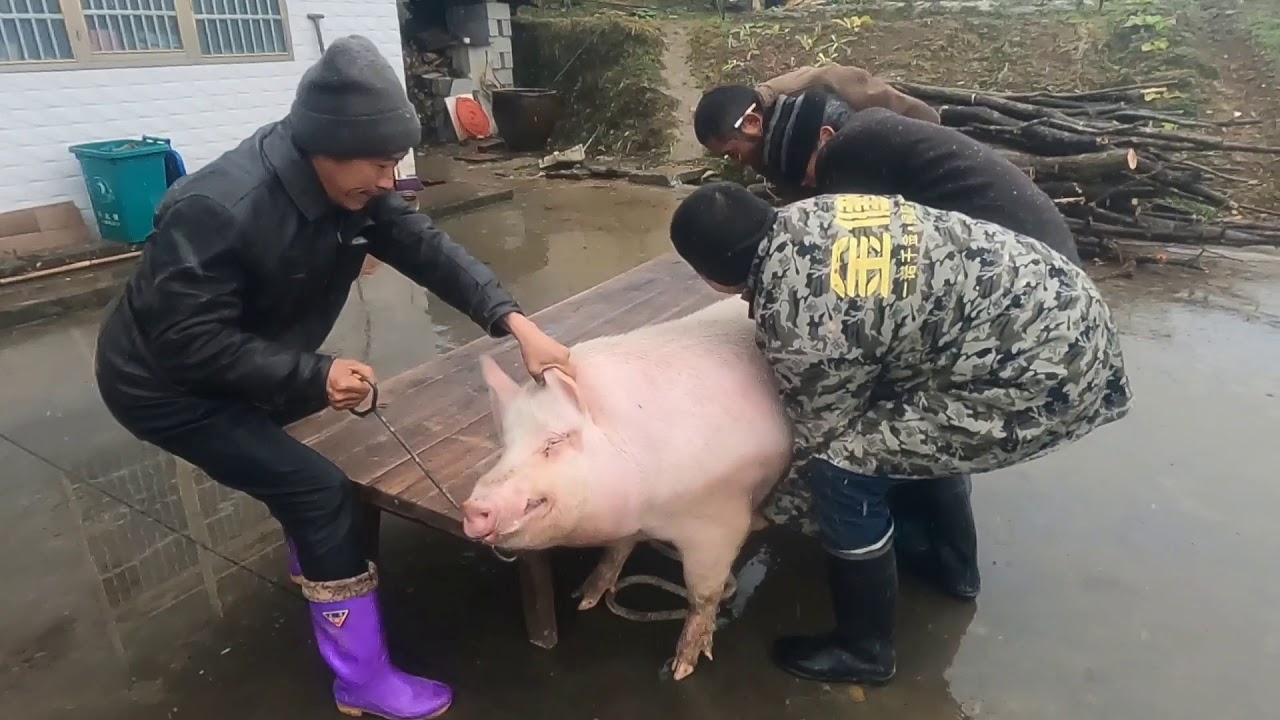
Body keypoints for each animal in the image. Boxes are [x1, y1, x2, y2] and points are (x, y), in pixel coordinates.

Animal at [461, 296, 794, 680]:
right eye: (505, 444)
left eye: (554, 441)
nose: (472, 507)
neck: (649, 510)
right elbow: (616, 551)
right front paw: (584, 599)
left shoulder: (720, 519)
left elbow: (703, 594)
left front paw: (681, 668)